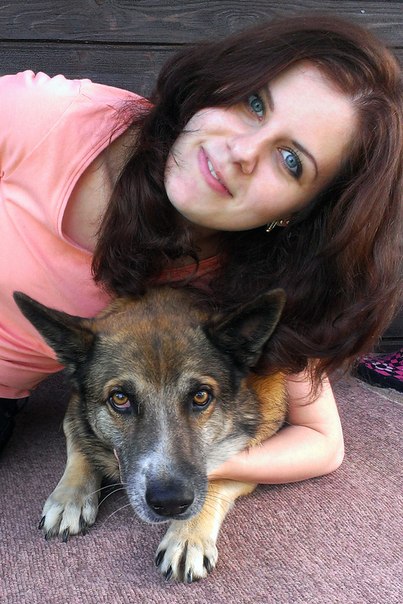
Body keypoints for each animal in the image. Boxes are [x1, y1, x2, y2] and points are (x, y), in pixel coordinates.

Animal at [14, 286, 287, 583]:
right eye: (120, 398)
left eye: (201, 396)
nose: (170, 503)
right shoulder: (74, 407)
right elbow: (81, 443)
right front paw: (69, 498)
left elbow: (217, 478)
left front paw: (187, 536)